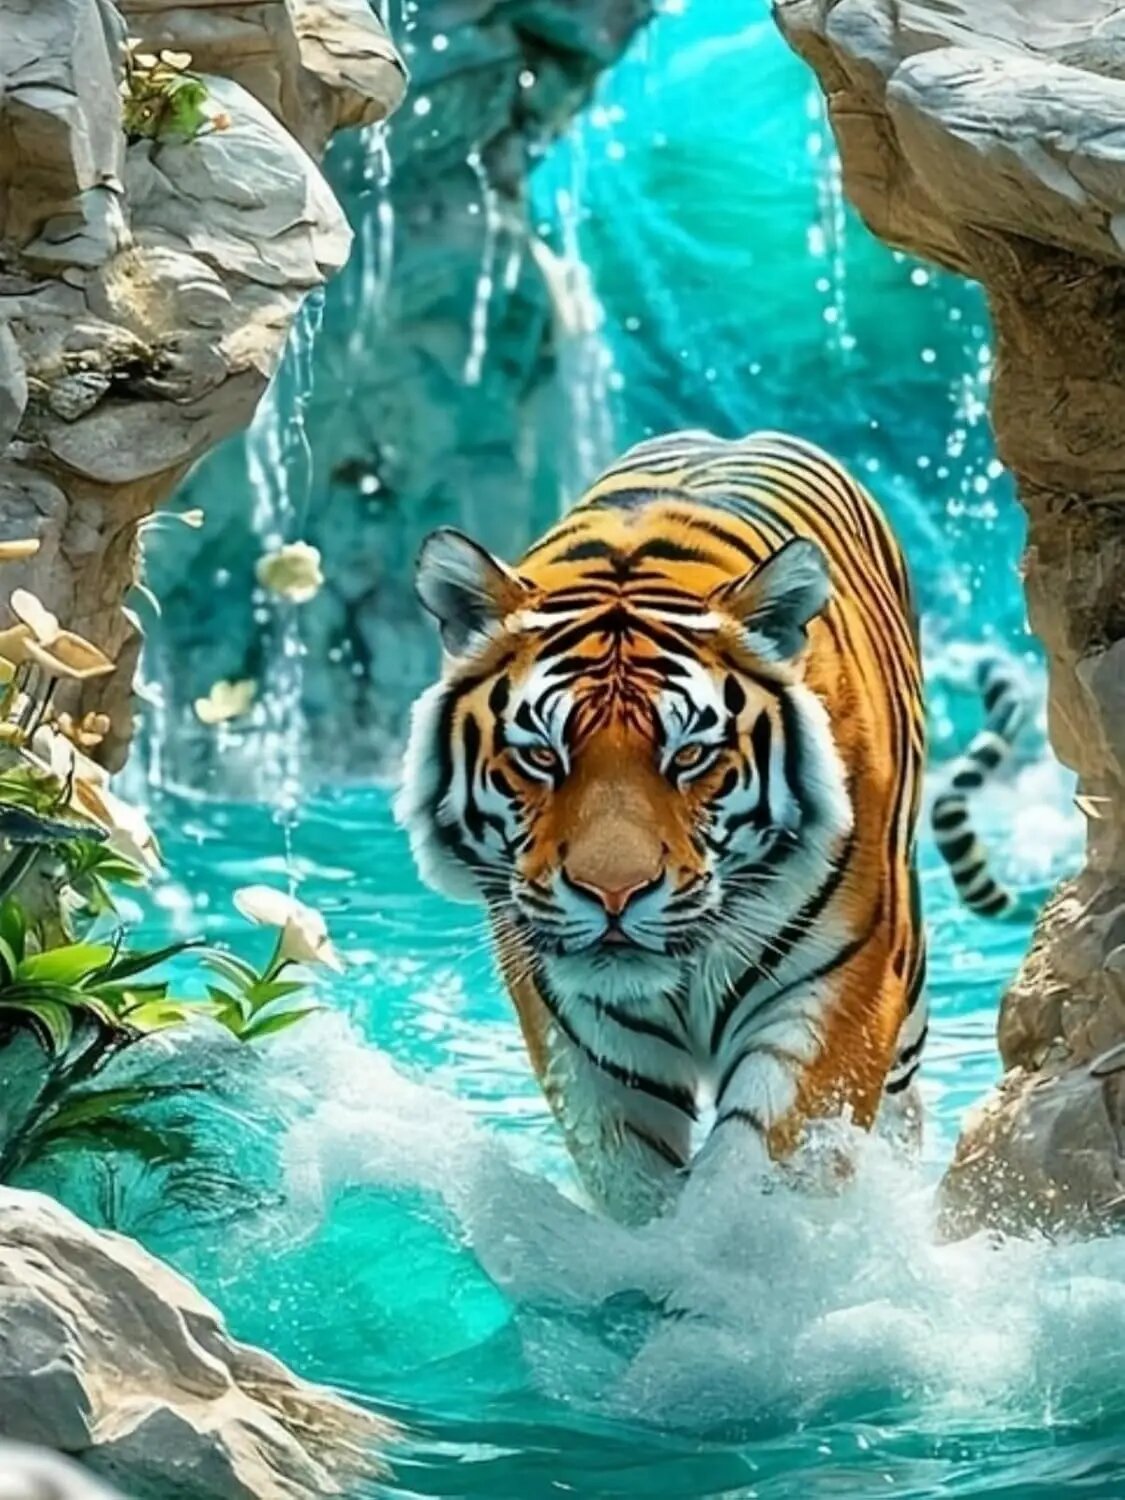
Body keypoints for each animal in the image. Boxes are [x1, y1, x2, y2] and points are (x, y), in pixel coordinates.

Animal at [397, 430, 1023, 1224]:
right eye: (541, 755)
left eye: (690, 755)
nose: (613, 896)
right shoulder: (581, 1024)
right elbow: (631, 1174)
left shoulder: (837, 989)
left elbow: (759, 1168)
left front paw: (726, 1246)